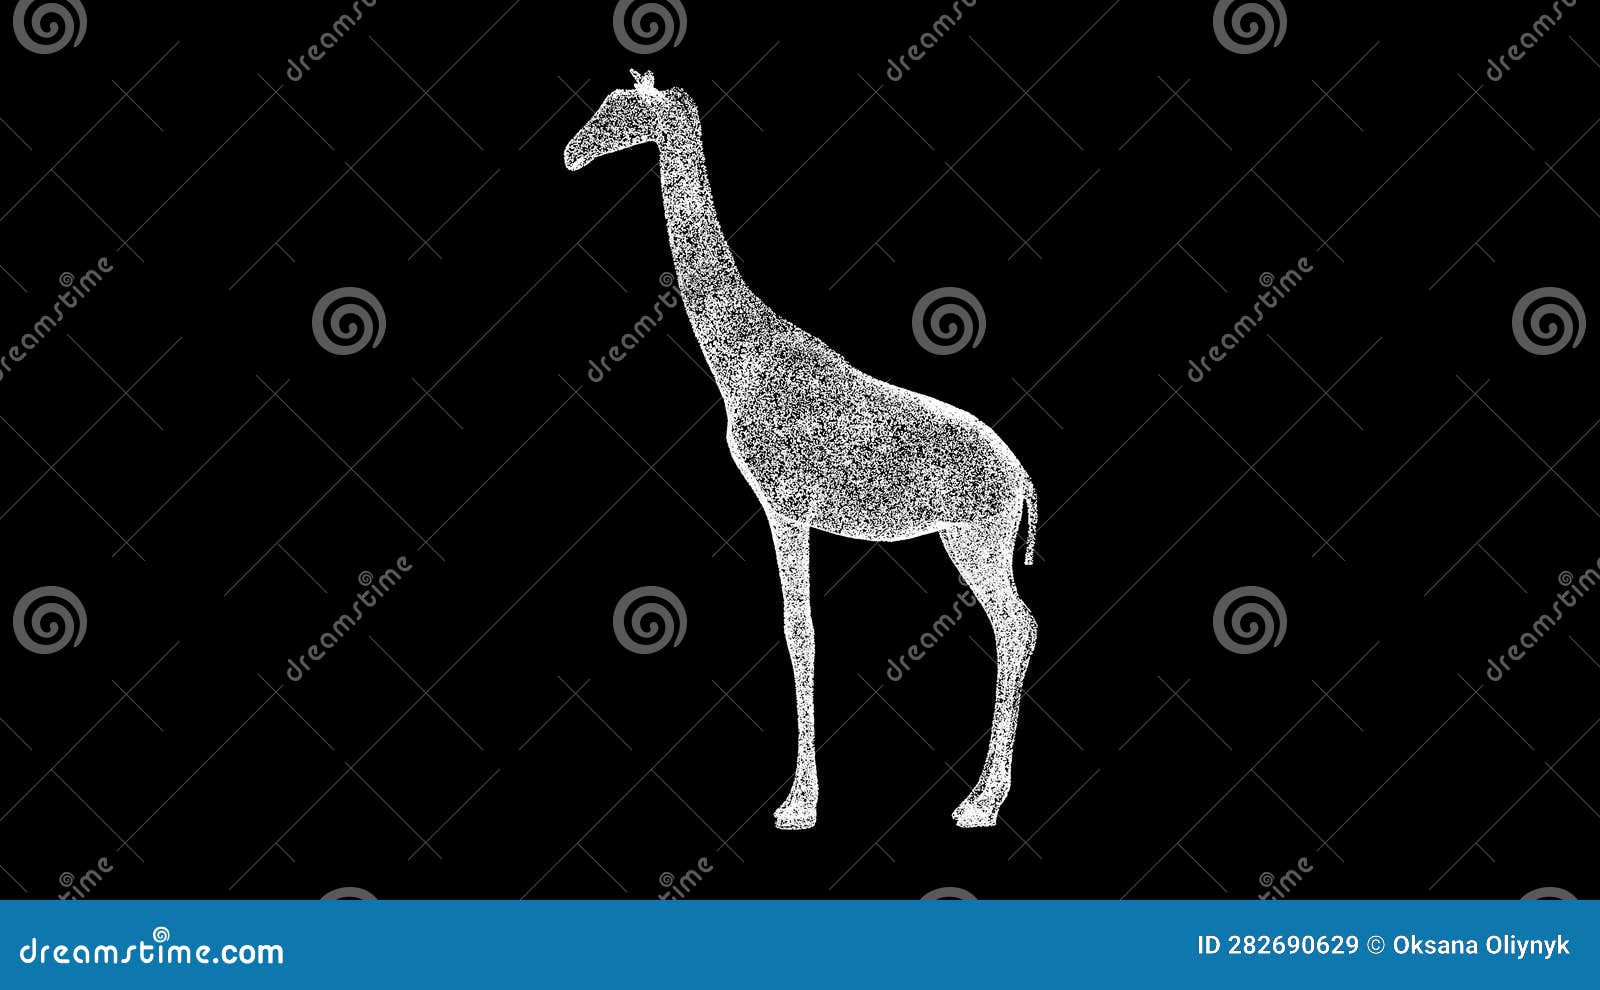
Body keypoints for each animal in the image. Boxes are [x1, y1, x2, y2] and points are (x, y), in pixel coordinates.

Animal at [564, 71, 1039, 829]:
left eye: (621, 110)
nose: (572, 153)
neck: (743, 357)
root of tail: (1022, 477)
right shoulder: (790, 514)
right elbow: (802, 631)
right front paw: (803, 797)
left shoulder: (783, 508)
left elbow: (799, 633)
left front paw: (798, 804)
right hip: (970, 541)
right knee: (1014, 627)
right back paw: (978, 797)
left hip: (978, 539)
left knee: (1018, 626)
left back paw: (981, 803)